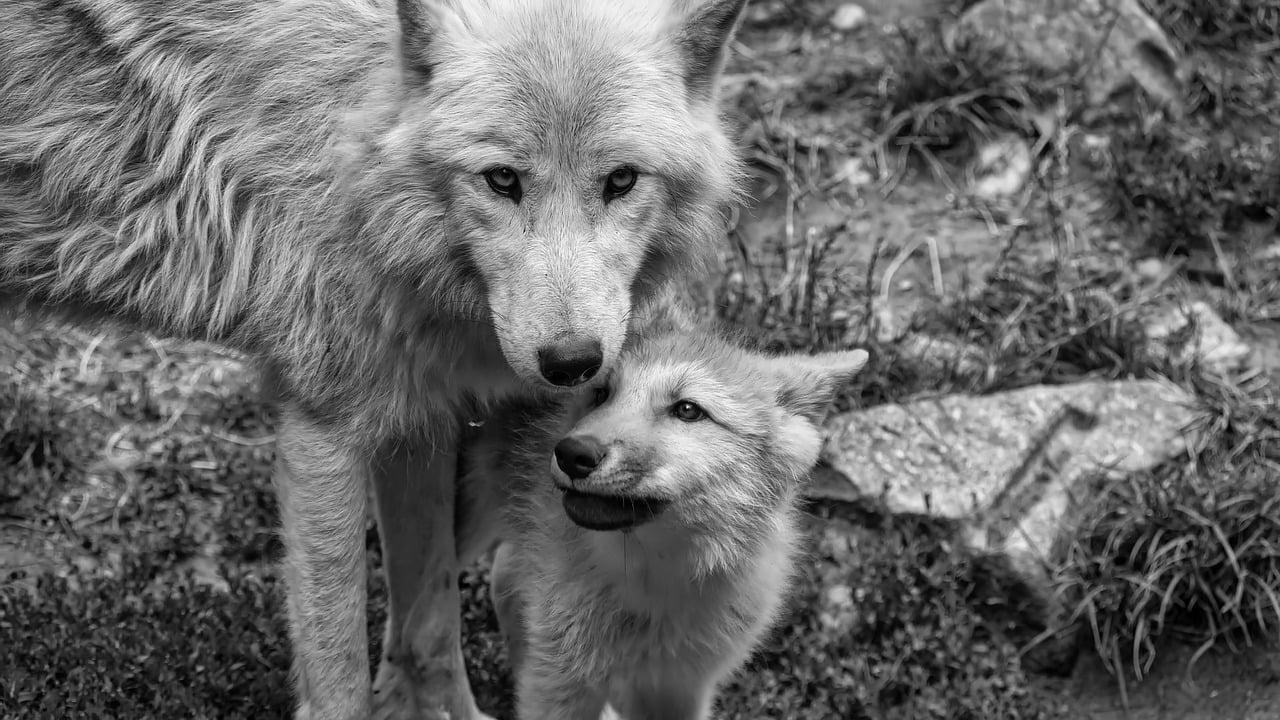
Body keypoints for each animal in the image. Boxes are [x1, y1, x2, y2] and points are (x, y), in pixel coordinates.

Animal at [0, 0, 750, 717]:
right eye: (502, 179)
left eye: (621, 179)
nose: (571, 362)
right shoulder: (321, 431)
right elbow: (340, 679)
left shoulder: (418, 419)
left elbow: (429, 628)